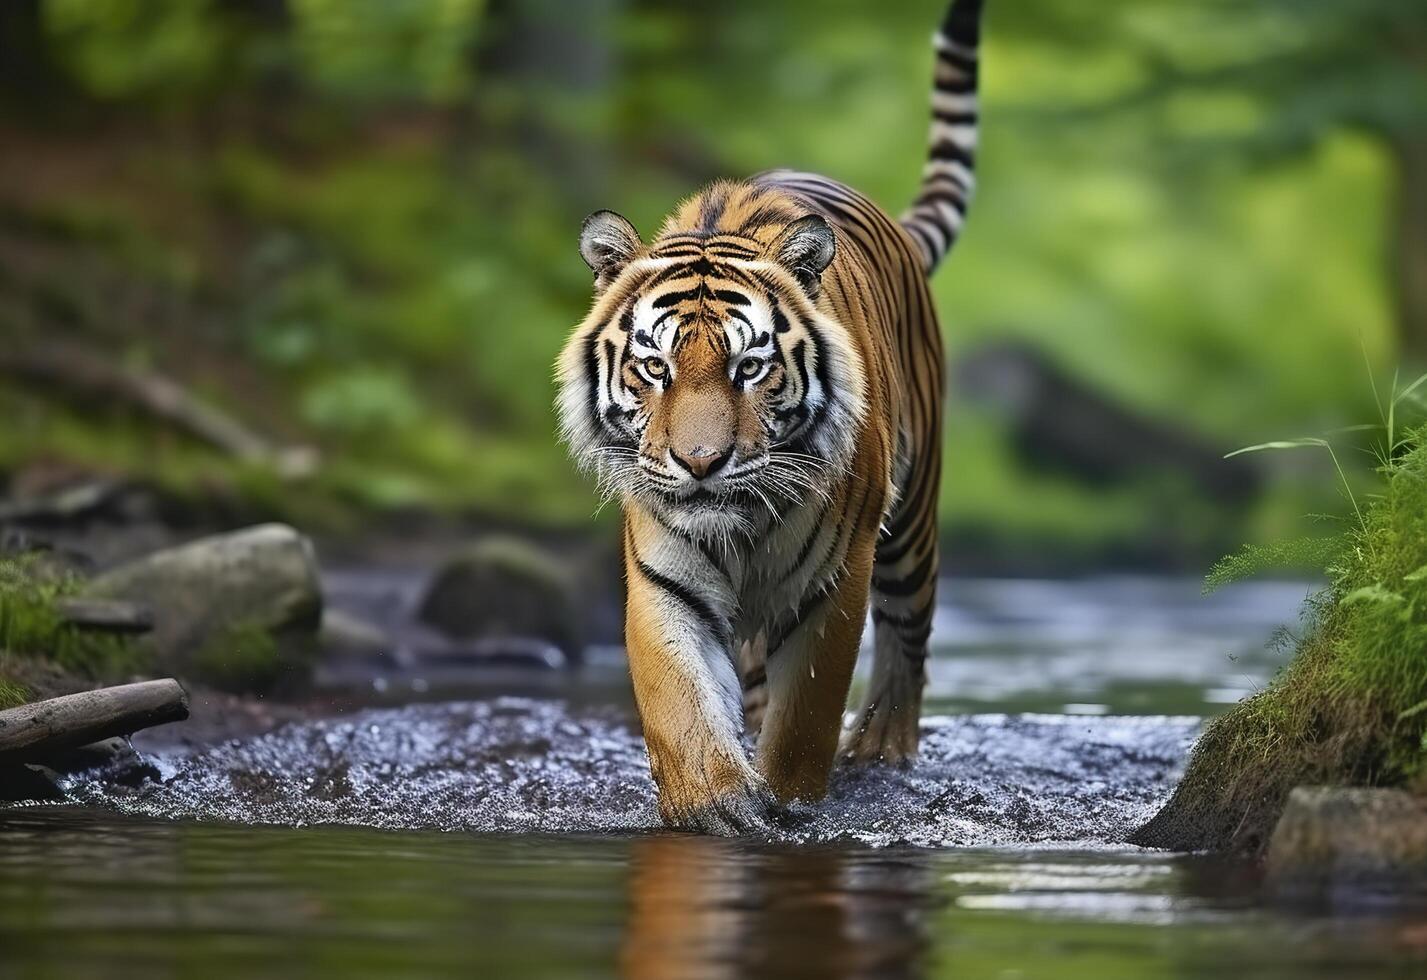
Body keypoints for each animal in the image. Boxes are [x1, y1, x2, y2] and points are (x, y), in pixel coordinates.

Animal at [555, 0, 985, 834]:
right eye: (654, 367)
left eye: (748, 368)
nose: (699, 464)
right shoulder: (665, 582)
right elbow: (680, 704)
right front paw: (716, 806)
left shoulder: (832, 586)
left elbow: (804, 717)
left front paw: (787, 803)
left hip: (910, 527)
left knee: (907, 641)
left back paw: (880, 749)